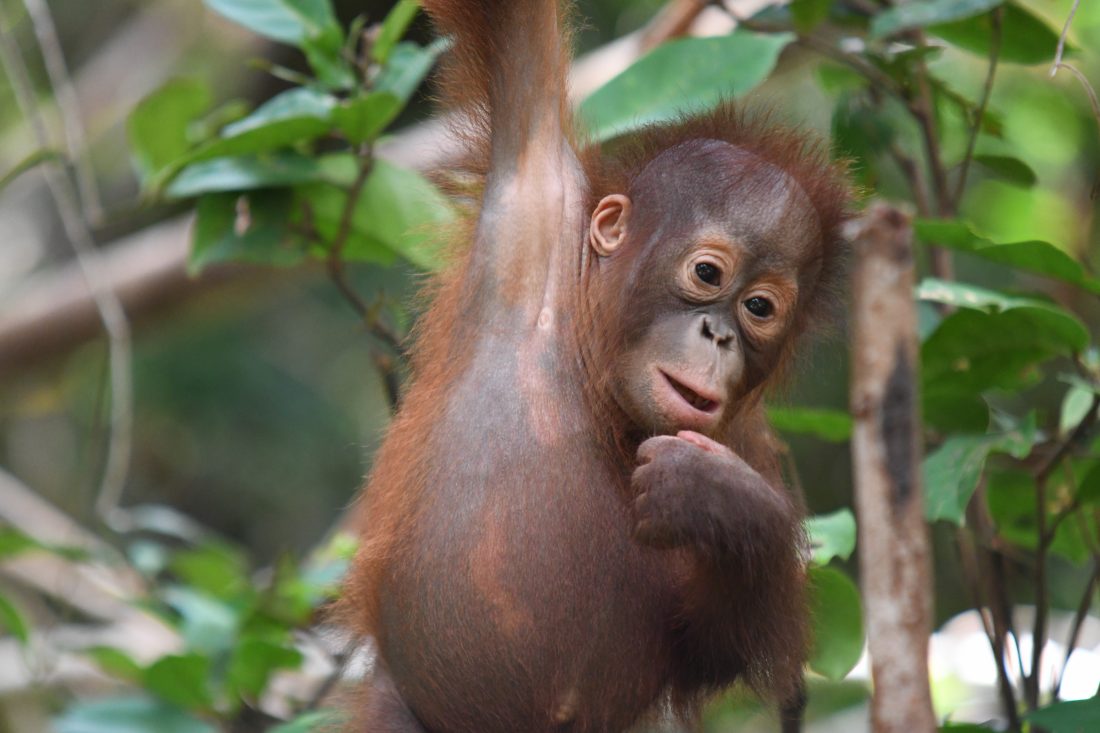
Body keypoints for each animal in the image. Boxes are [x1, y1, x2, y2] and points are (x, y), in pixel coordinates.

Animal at [342, 1, 852, 731]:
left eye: (759, 307)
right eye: (707, 274)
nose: (720, 336)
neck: (595, 375)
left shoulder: (744, 436)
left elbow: (708, 641)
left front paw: (720, 502)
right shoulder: (534, 202)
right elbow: (515, 40)